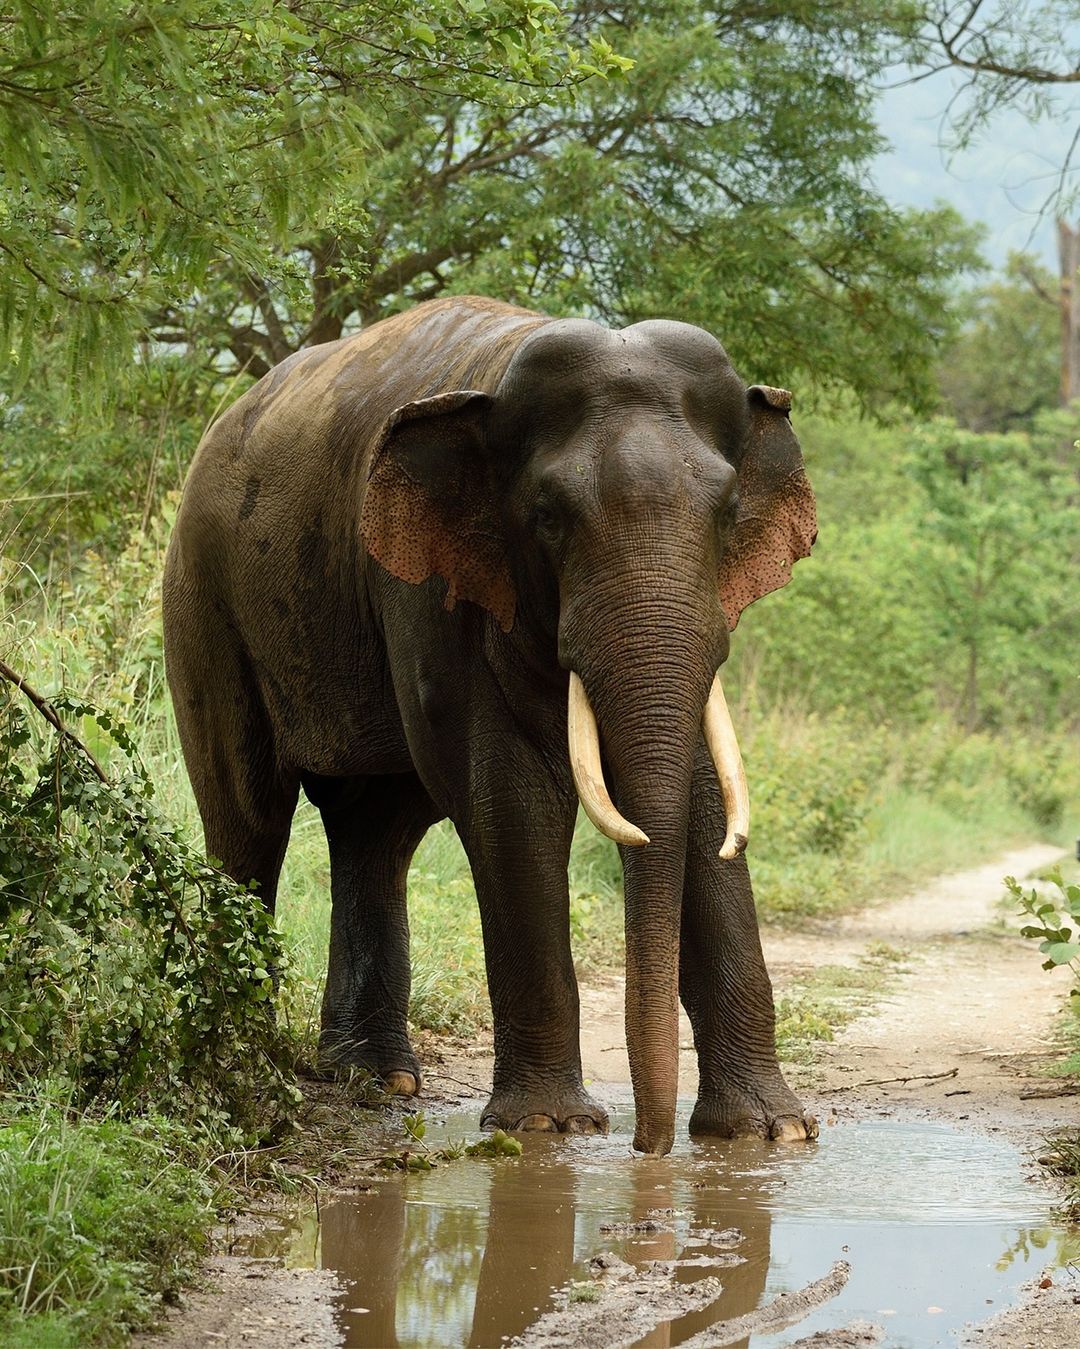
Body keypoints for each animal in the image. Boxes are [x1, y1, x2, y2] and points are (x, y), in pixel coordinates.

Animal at [162, 295, 818, 1155]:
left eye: (728, 512)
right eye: (547, 517)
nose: (648, 1147)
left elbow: (707, 799)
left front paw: (769, 1132)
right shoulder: (433, 590)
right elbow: (513, 802)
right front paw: (549, 1124)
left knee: (374, 830)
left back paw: (376, 1080)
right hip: (204, 600)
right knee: (248, 819)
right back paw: (255, 1060)